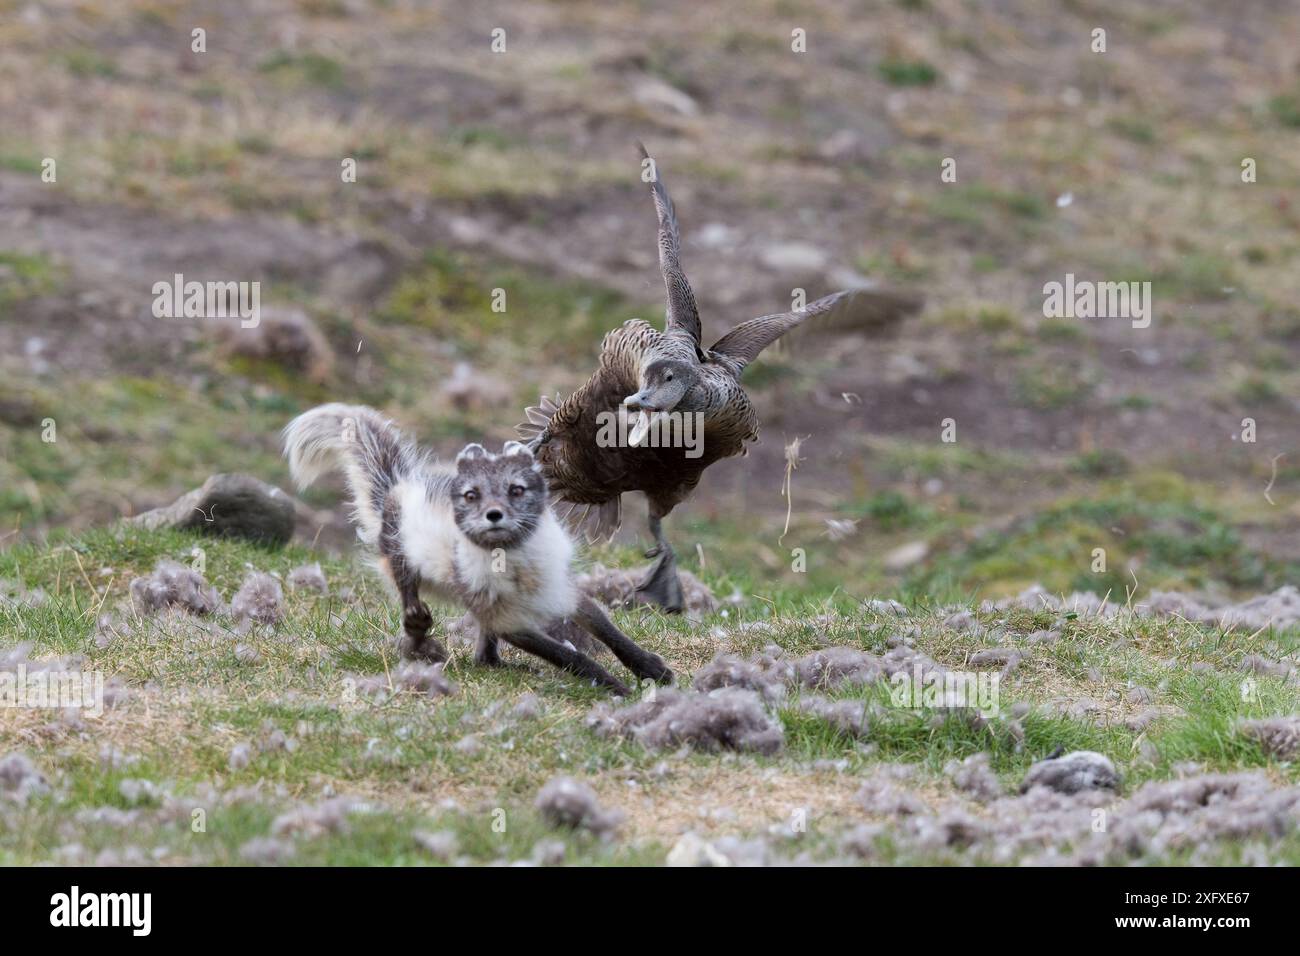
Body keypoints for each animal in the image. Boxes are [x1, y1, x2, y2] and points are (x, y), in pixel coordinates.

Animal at [283, 403, 673, 695]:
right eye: (472, 496)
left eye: (516, 490)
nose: (493, 515)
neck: (517, 568)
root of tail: (399, 484)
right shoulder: (510, 621)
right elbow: (569, 656)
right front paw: (612, 685)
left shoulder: (564, 590)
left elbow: (610, 632)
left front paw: (652, 669)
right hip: (407, 561)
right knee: (412, 601)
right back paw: (420, 630)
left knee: (485, 658)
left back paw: (516, 668)